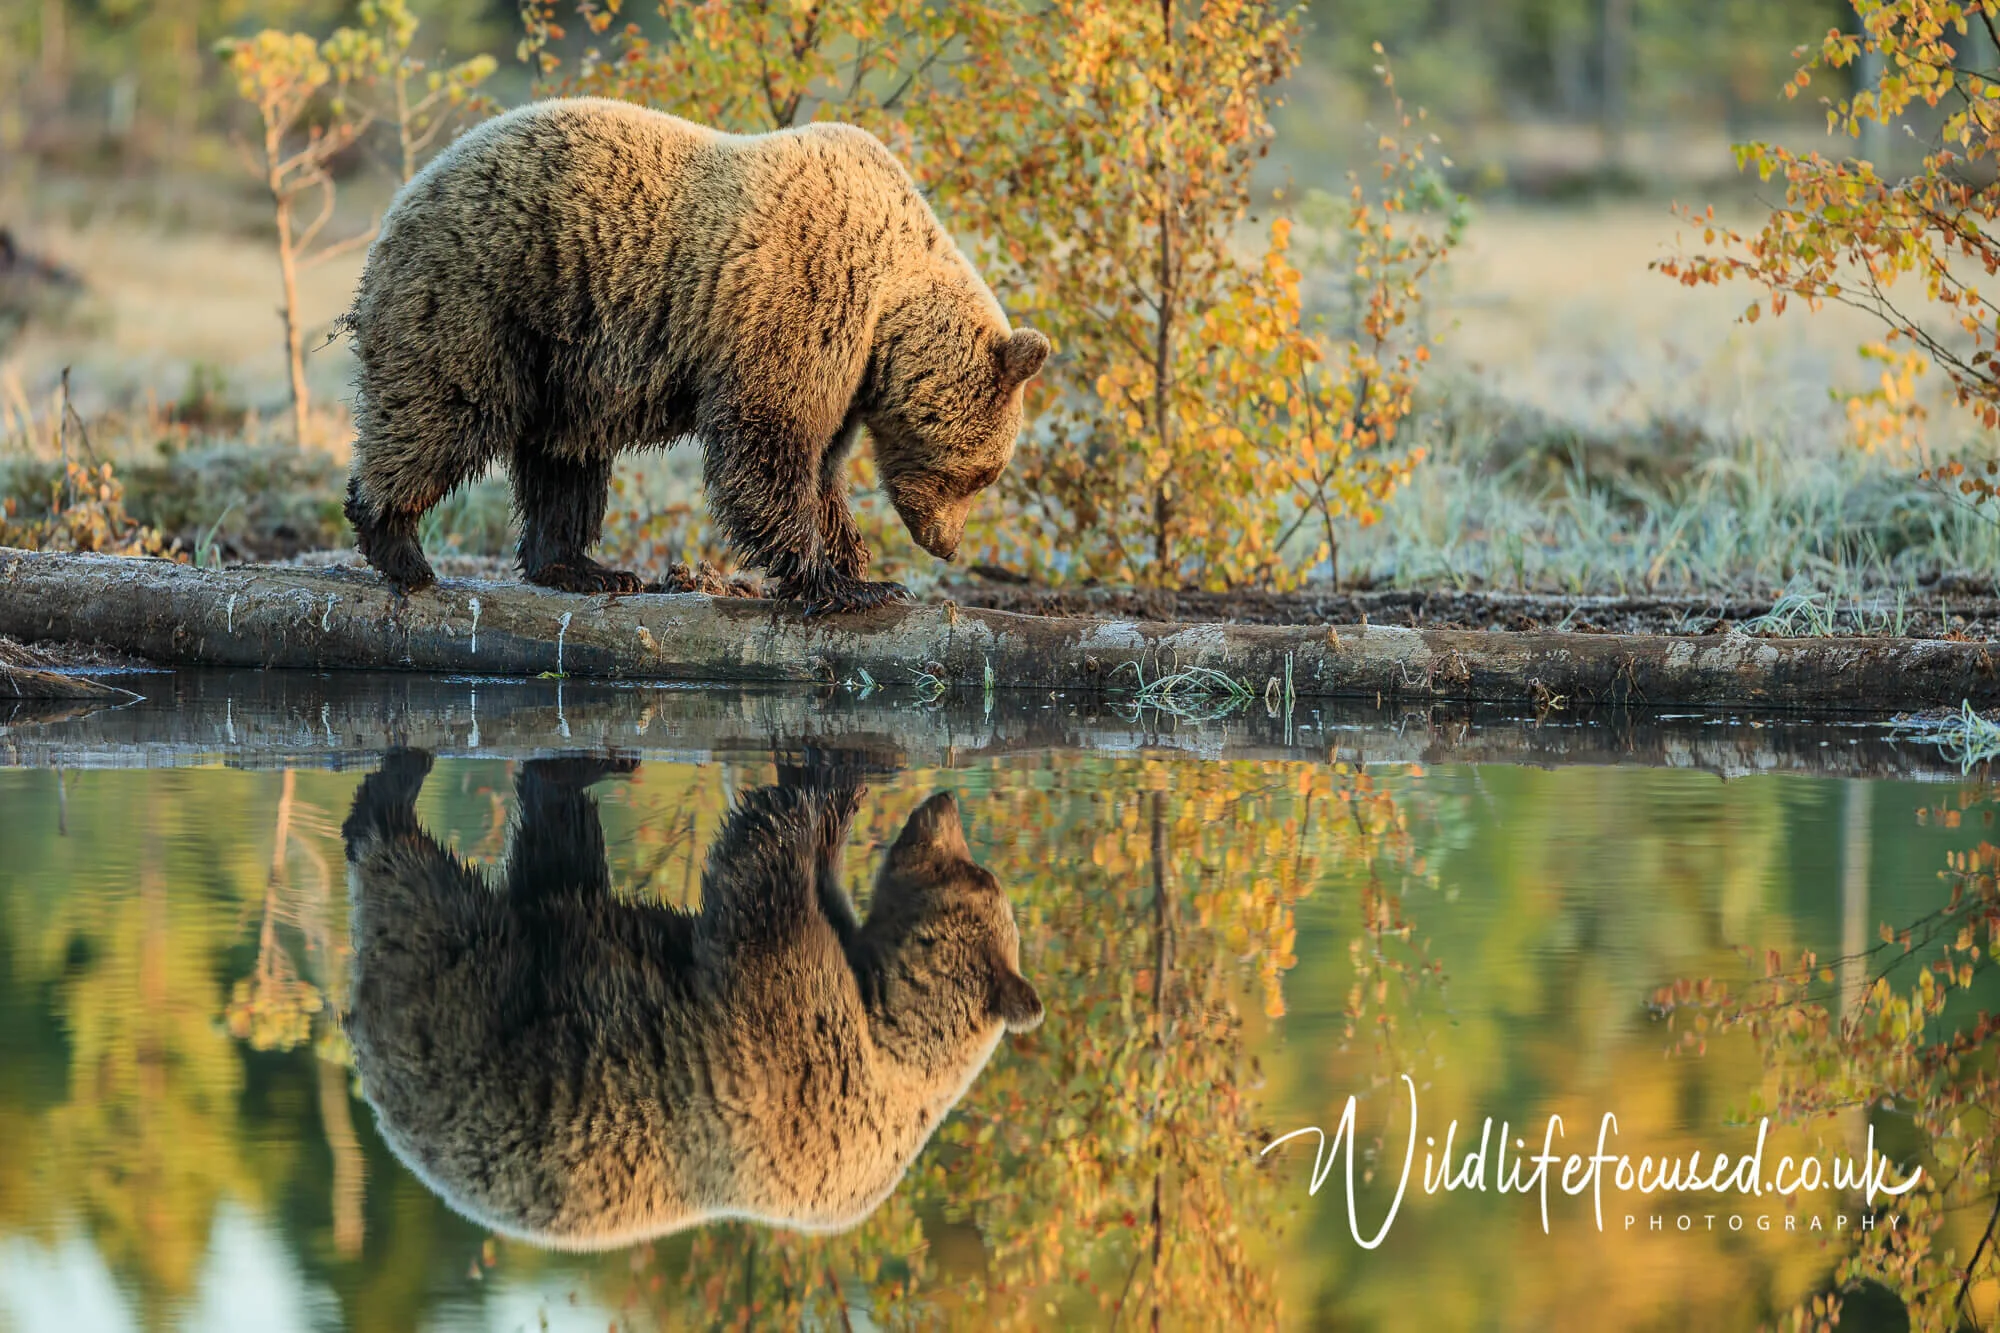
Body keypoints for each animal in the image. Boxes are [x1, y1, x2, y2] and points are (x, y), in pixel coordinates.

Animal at [340, 97, 1050, 614]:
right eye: (982, 474)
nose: (946, 545)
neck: (885, 311)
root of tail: (406, 195)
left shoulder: (845, 374)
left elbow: (821, 464)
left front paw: (864, 571)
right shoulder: (802, 301)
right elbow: (767, 442)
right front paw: (836, 584)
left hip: (564, 358)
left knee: (565, 463)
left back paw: (587, 569)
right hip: (484, 297)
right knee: (442, 414)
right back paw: (399, 547)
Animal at [340, 748, 1042, 1248]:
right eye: (978, 870)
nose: (944, 803)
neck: (883, 1016)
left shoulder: (791, 1053)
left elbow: (756, 873)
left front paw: (824, 775)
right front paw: (839, 783)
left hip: (467, 1001)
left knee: (430, 880)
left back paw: (397, 791)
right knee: (556, 853)